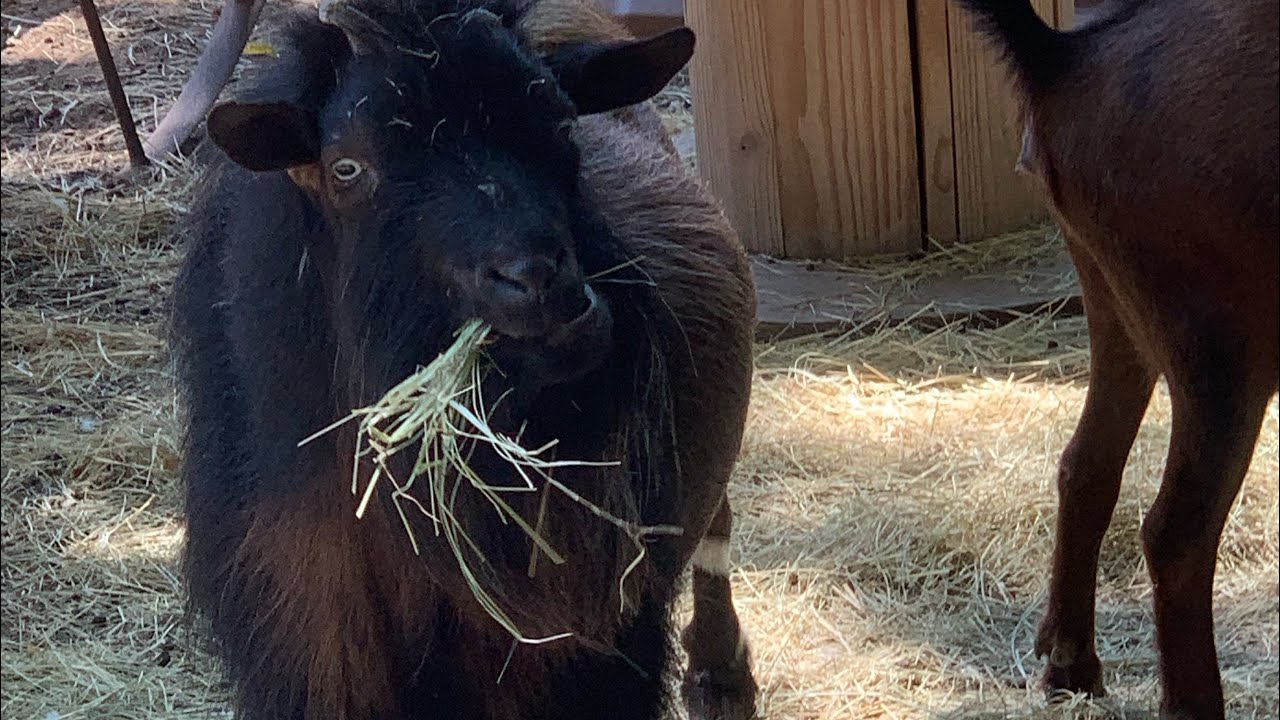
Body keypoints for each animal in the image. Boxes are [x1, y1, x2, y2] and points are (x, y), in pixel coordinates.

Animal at [170, 1, 757, 718]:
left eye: (563, 124)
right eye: (346, 168)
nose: (536, 277)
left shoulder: (609, 644)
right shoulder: (313, 650)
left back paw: (722, 679)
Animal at [955, 1, 1278, 717]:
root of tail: (1067, 63)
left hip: (1114, 305)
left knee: (1085, 466)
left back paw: (1070, 665)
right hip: (1222, 353)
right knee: (1175, 536)